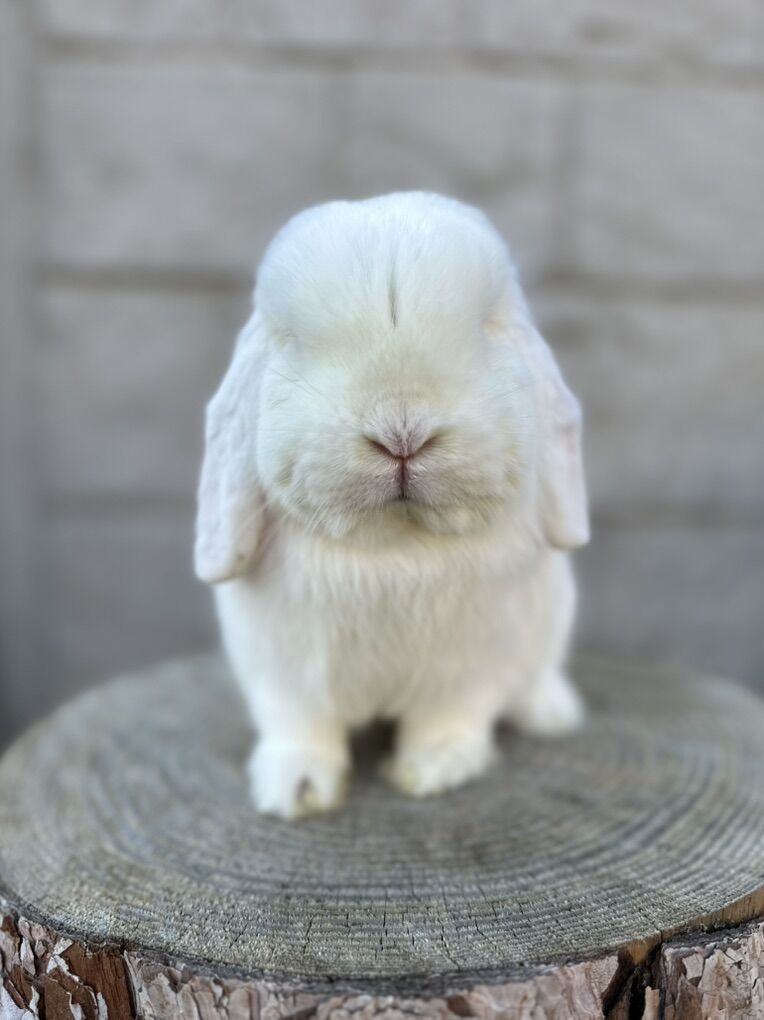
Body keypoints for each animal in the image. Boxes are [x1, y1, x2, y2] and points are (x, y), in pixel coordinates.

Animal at [195, 191, 589, 820]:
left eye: (487, 328)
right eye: (291, 341)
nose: (402, 431)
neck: (397, 544)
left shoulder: (468, 667)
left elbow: (451, 719)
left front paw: (433, 771)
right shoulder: (285, 672)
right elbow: (299, 728)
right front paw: (296, 791)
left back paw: (552, 714)